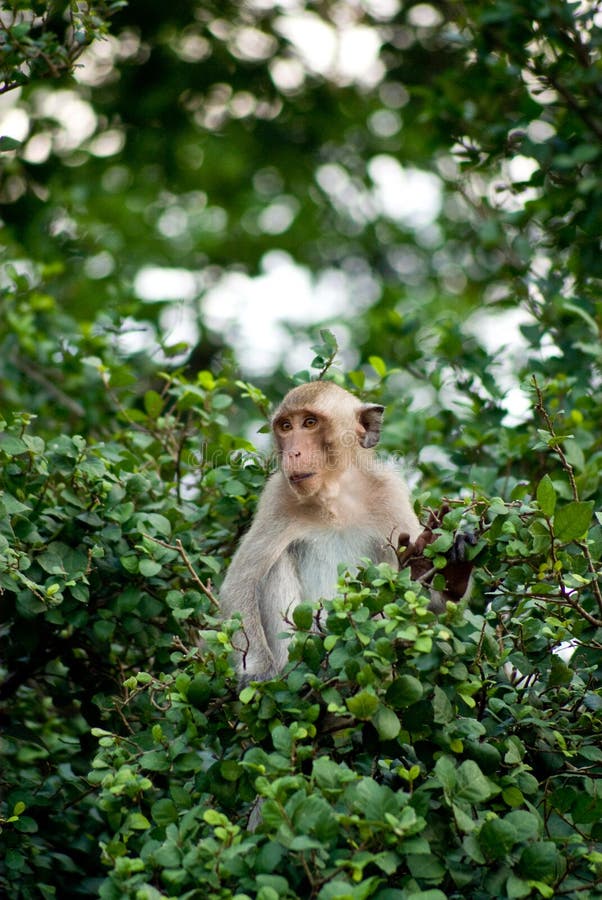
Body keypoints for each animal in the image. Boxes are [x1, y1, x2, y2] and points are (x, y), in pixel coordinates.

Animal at [219, 380, 423, 682]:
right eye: (286, 426)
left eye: (310, 423)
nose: (293, 453)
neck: (334, 497)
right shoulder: (276, 497)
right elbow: (240, 584)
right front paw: (259, 670)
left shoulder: (390, 493)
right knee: (276, 564)